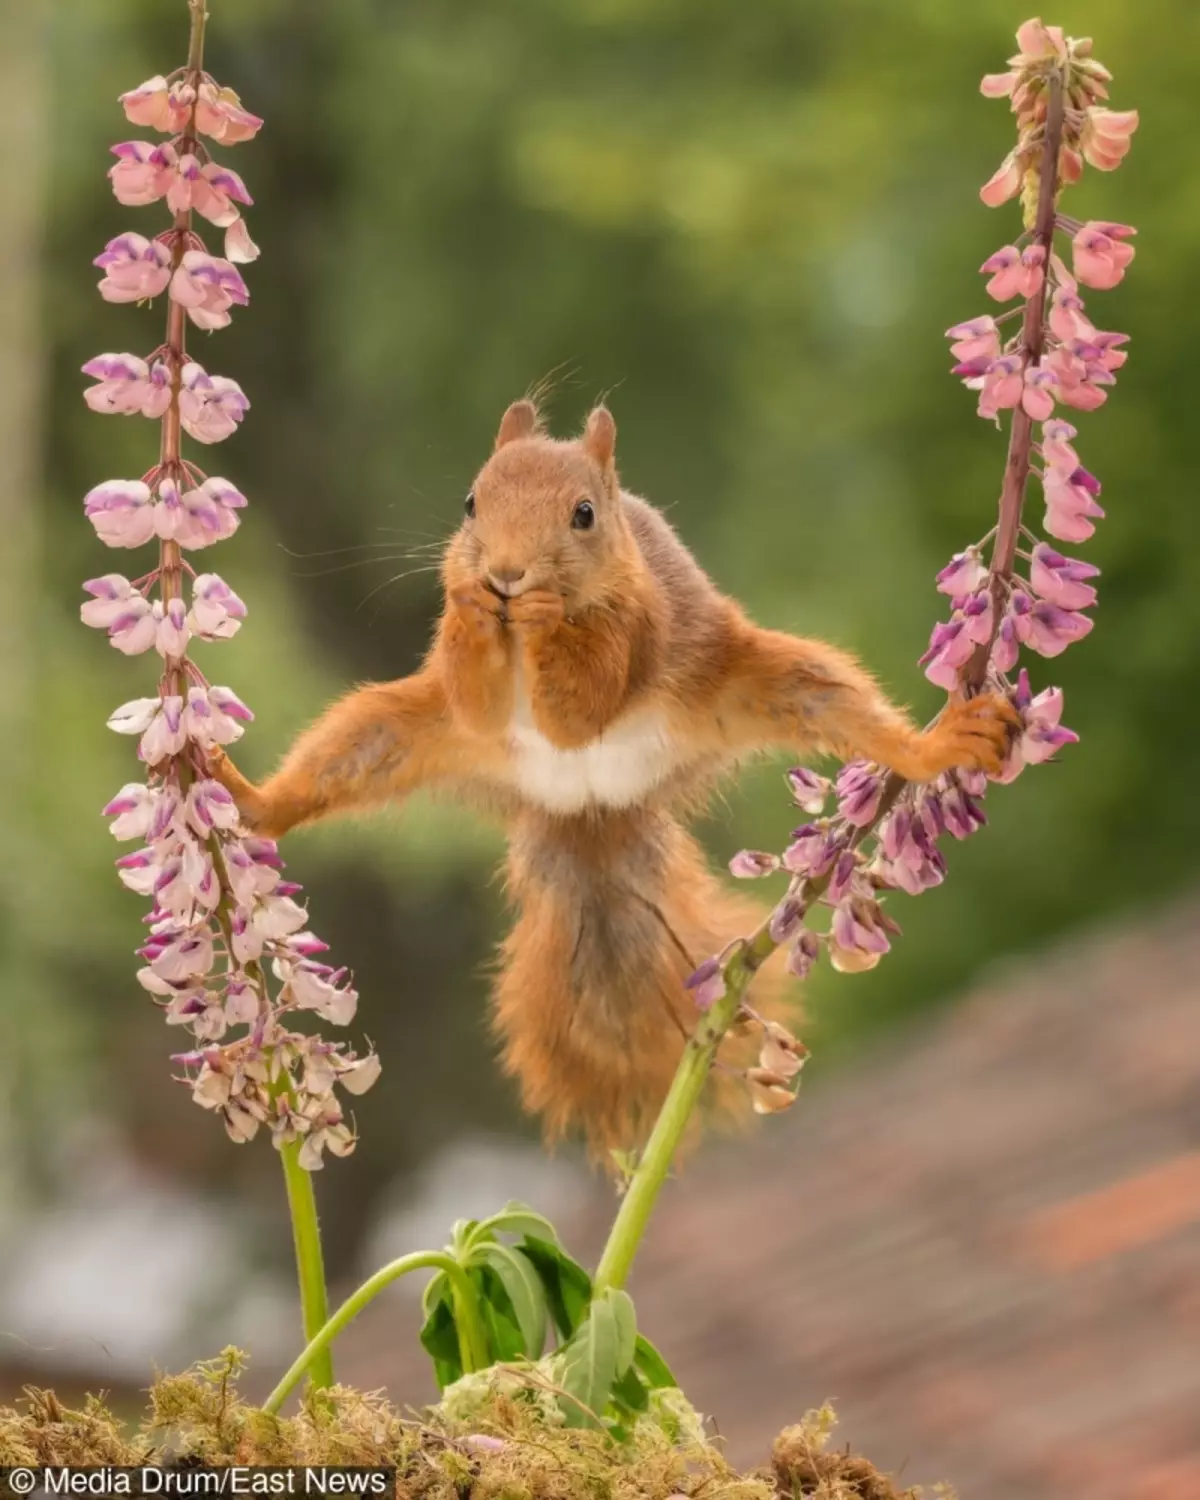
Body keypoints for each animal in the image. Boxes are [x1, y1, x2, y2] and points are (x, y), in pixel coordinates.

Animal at [211, 402, 1020, 1158]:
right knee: (345, 755)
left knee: (835, 701)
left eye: (584, 515)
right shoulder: (467, 699)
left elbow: (584, 704)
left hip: (760, 681)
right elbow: (475, 696)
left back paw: (937, 745)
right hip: (394, 730)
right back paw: (250, 801)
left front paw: (541, 616)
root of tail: (590, 806)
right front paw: (473, 605)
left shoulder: (639, 626)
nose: (506, 575)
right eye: (470, 503)